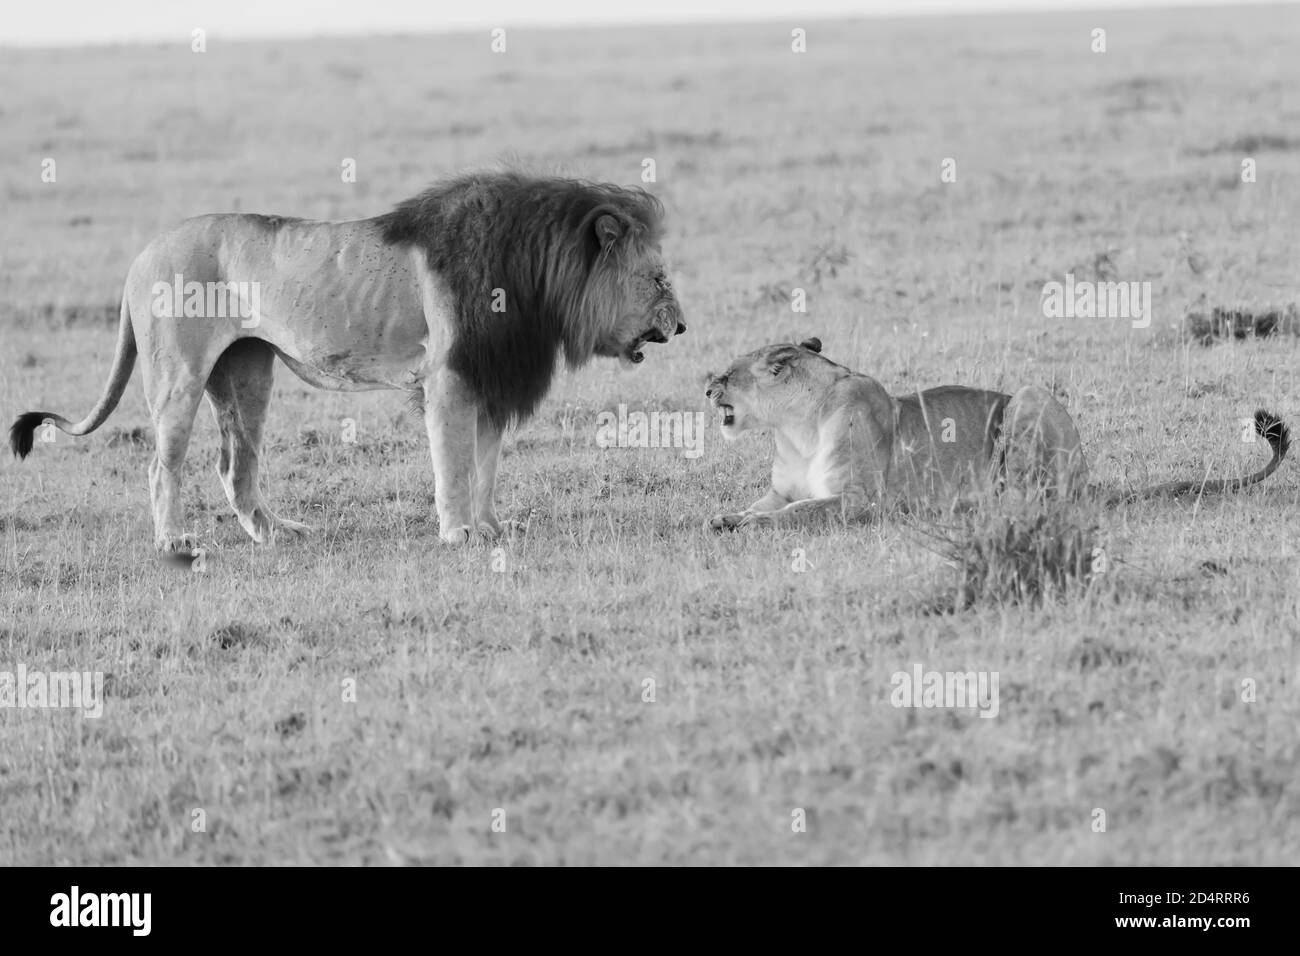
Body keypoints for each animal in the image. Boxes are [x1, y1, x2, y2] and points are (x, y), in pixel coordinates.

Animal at [10, 171, 685, 550]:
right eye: (658, 278)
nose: (681, 325)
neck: (536, 275)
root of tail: (140, 255)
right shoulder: (451, 376)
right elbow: (455, 464)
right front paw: (458, 533)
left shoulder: (490, 375)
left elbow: (486, 465)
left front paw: (492, 528)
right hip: (179, 375)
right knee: (161, 466)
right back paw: (174, 539)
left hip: (247, 372)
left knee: (235, 467)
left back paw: (277, 535)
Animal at [704, 337, 1288, 530]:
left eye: (728, 373)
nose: (706, 387)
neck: (793, 428)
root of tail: (1088, 475)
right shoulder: (780, 488)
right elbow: (766, 504)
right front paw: (723, 518)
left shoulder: (859, 500)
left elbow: (796, 513)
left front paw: (748, 525)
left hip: (1028, 399)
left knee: (1037, 496)